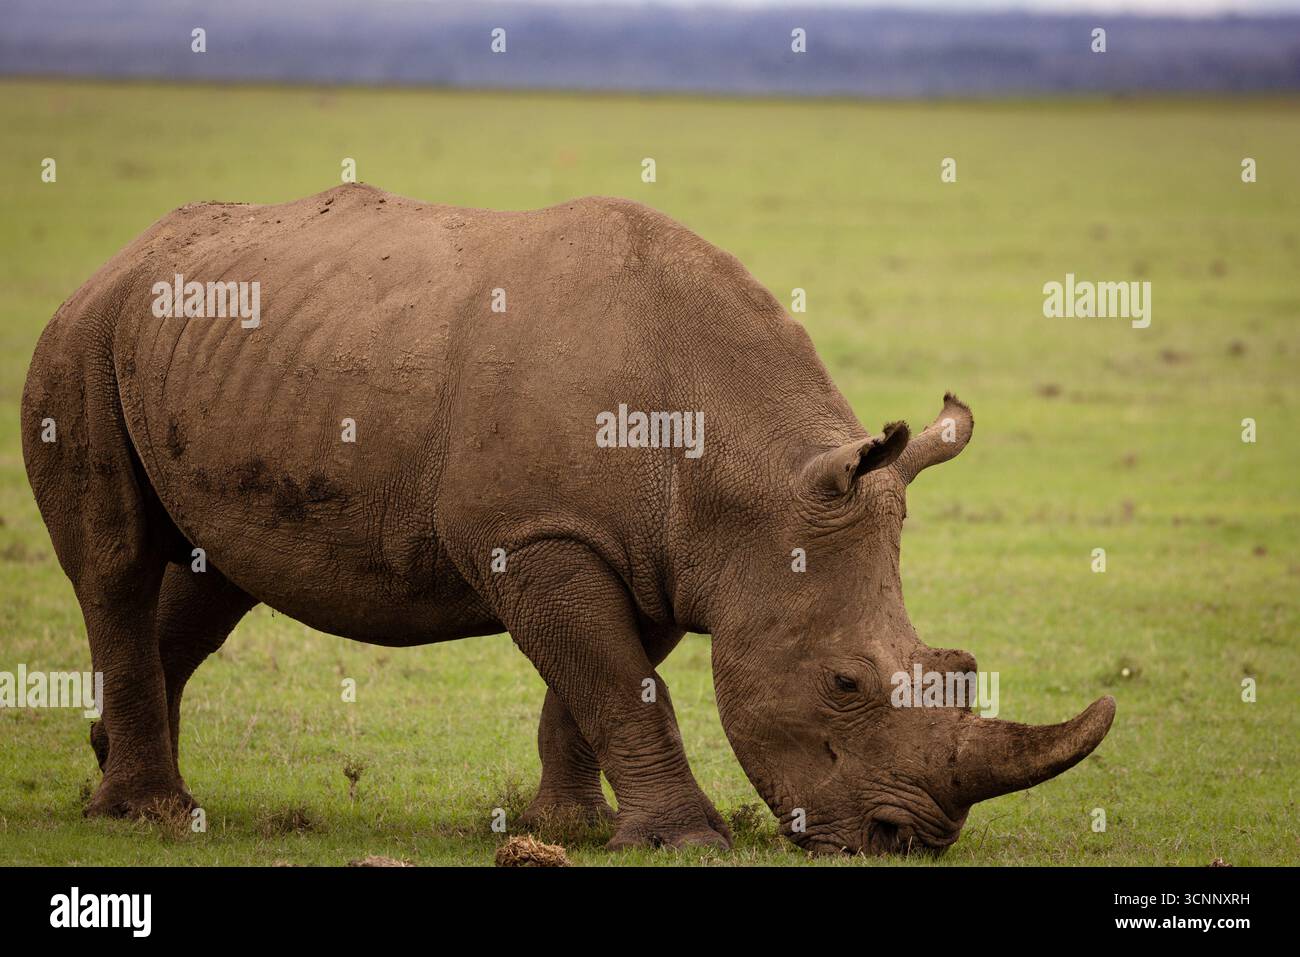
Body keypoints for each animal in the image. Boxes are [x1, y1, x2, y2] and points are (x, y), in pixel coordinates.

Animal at [22, 184, 1114, 855]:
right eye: (844, 683)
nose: (909, 842)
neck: (746, 480)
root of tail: (121, 256)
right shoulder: (544, 535)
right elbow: (618, 683)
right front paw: (686, 840)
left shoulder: (665, 553)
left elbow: (598, 687)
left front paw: (576, 830)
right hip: (81, 336)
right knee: (117, 563)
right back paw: (153, 816)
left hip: (203, 350)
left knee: (215, 578)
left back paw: (110, 774)